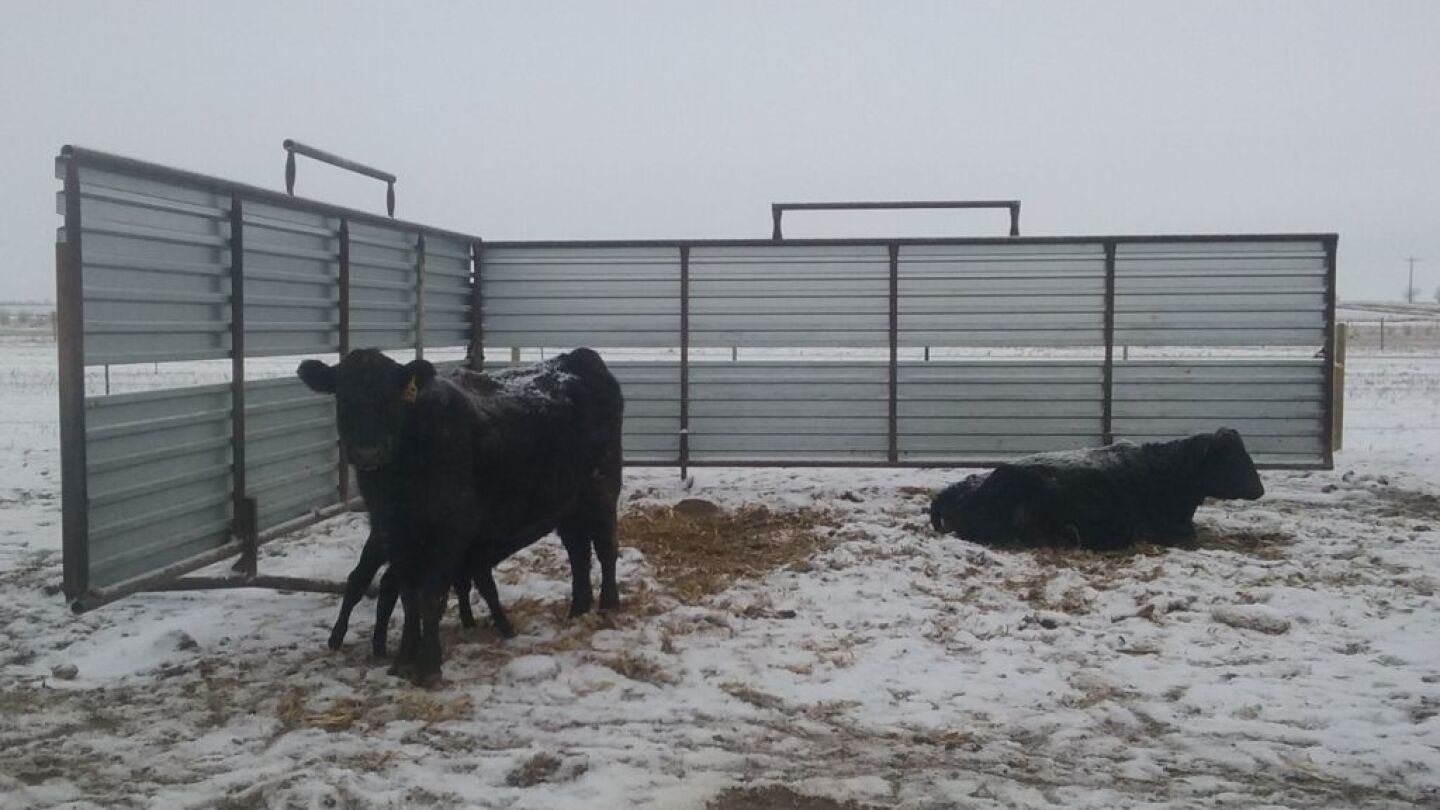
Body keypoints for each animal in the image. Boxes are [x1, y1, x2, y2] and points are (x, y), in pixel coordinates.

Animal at [298, 347, 624, 686]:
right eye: (343, 395)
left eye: (391, 396)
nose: (367, 452)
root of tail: (577, 356)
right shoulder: (393, 534)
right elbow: (408, 595)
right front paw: (404, 659)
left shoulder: (449, 531)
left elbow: (429, 595)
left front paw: (429, 665)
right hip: (569, 503)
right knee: (578, 551)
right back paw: (579, 608)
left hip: (603, 486)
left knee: (606, 548)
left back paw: (608, 606)